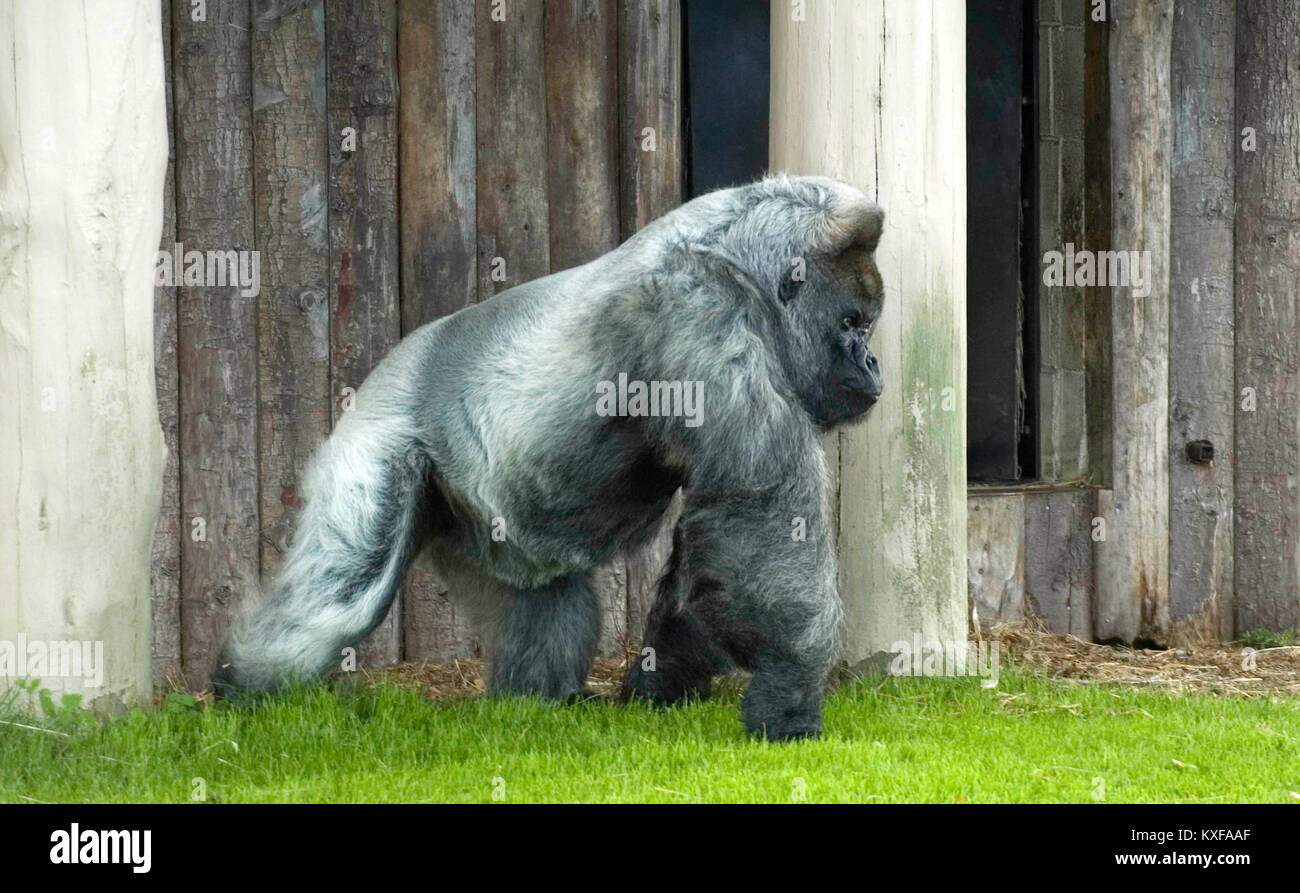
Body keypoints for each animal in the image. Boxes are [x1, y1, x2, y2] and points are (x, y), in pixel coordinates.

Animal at [212, 174, 885, 741]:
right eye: (851, 323)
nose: (873, 363)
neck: (742, 263)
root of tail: (373, 378)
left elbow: (720, 542)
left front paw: (661, 683)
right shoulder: (703, 316)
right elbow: (759, 515)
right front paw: (789, 697)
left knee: (541, 584)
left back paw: (539, 699)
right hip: (372, 443)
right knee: (340, 590)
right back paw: (238, 693)